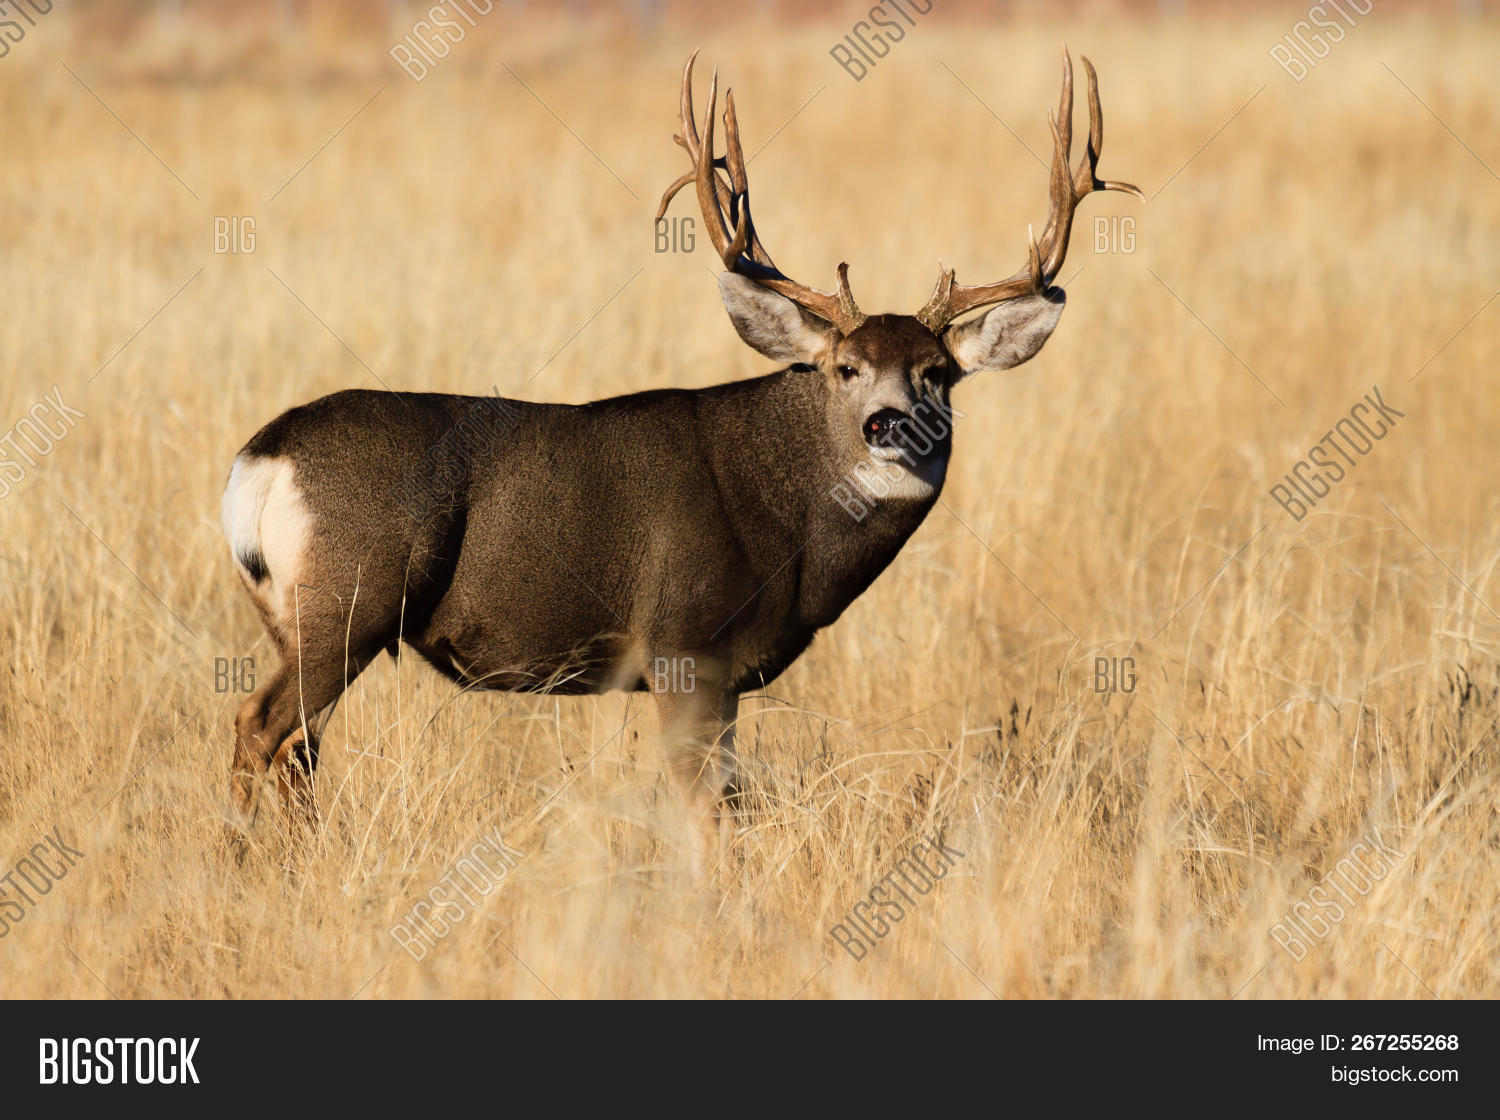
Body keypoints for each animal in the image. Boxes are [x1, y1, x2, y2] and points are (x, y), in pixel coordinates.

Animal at [220, 48, 1139, 858]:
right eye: (844, 368)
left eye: (939, 373)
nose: (890, 423)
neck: (788, 521)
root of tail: (261, 459)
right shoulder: (683, 644)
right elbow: (709, 817)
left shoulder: (723, 674)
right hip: (350, 599)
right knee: (258, 728)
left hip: (294, 615)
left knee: (298, 750)